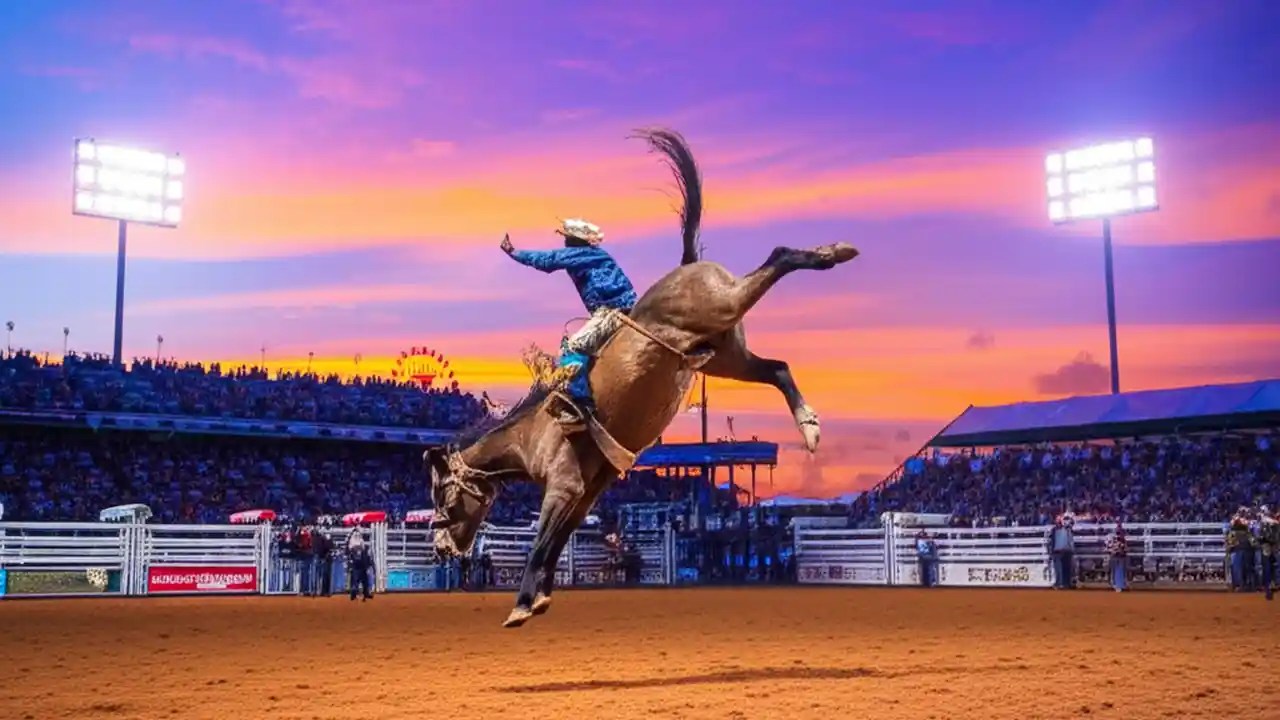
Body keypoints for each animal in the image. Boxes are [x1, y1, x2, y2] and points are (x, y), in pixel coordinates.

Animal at [425, 128, 858, 627]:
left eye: (442, 495)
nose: (440, 550)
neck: (532, 433)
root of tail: (688, 264)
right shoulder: (587, 491)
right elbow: (556, 543)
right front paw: (541, 599)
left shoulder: (564, 485)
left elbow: (539, 545)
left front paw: (520, 606)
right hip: (726, 356)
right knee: (778, 367)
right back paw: (809, 427)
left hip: (726, 306)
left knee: (779, 256)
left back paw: (834, 253)